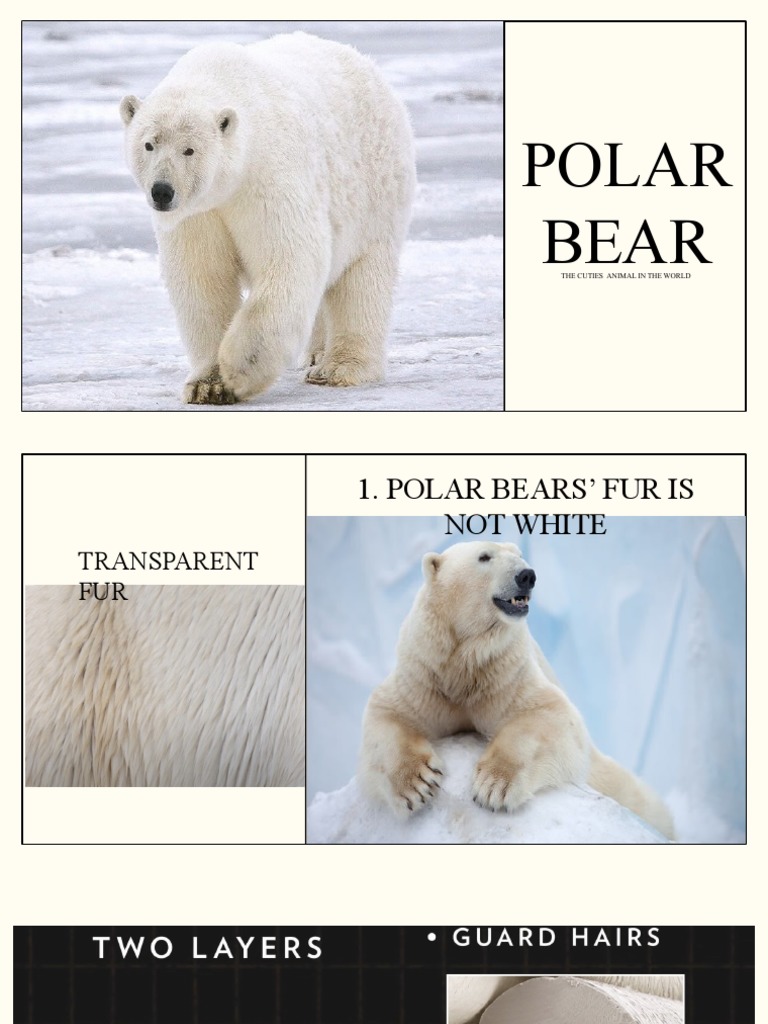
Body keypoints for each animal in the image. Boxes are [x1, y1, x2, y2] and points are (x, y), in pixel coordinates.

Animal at [119, 33, 416, 404]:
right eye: (149, 144)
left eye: (189, 149)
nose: (162, 191)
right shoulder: (199, 214)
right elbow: (203, 278)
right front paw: (207, 385)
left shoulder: (267, 176)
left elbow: (290, 257)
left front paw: (238, 371)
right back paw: (316, 354)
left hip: (375, 192)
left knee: (362, 280)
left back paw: (338, 368)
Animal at [358, 540, 675, 838]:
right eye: (484, 556)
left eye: (519, 554)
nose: (527, 575)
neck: (465, 660)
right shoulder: (425, 674)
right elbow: (387, 712)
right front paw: (416, 785)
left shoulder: (506, 673)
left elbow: (546, 713)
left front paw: (494, 785)